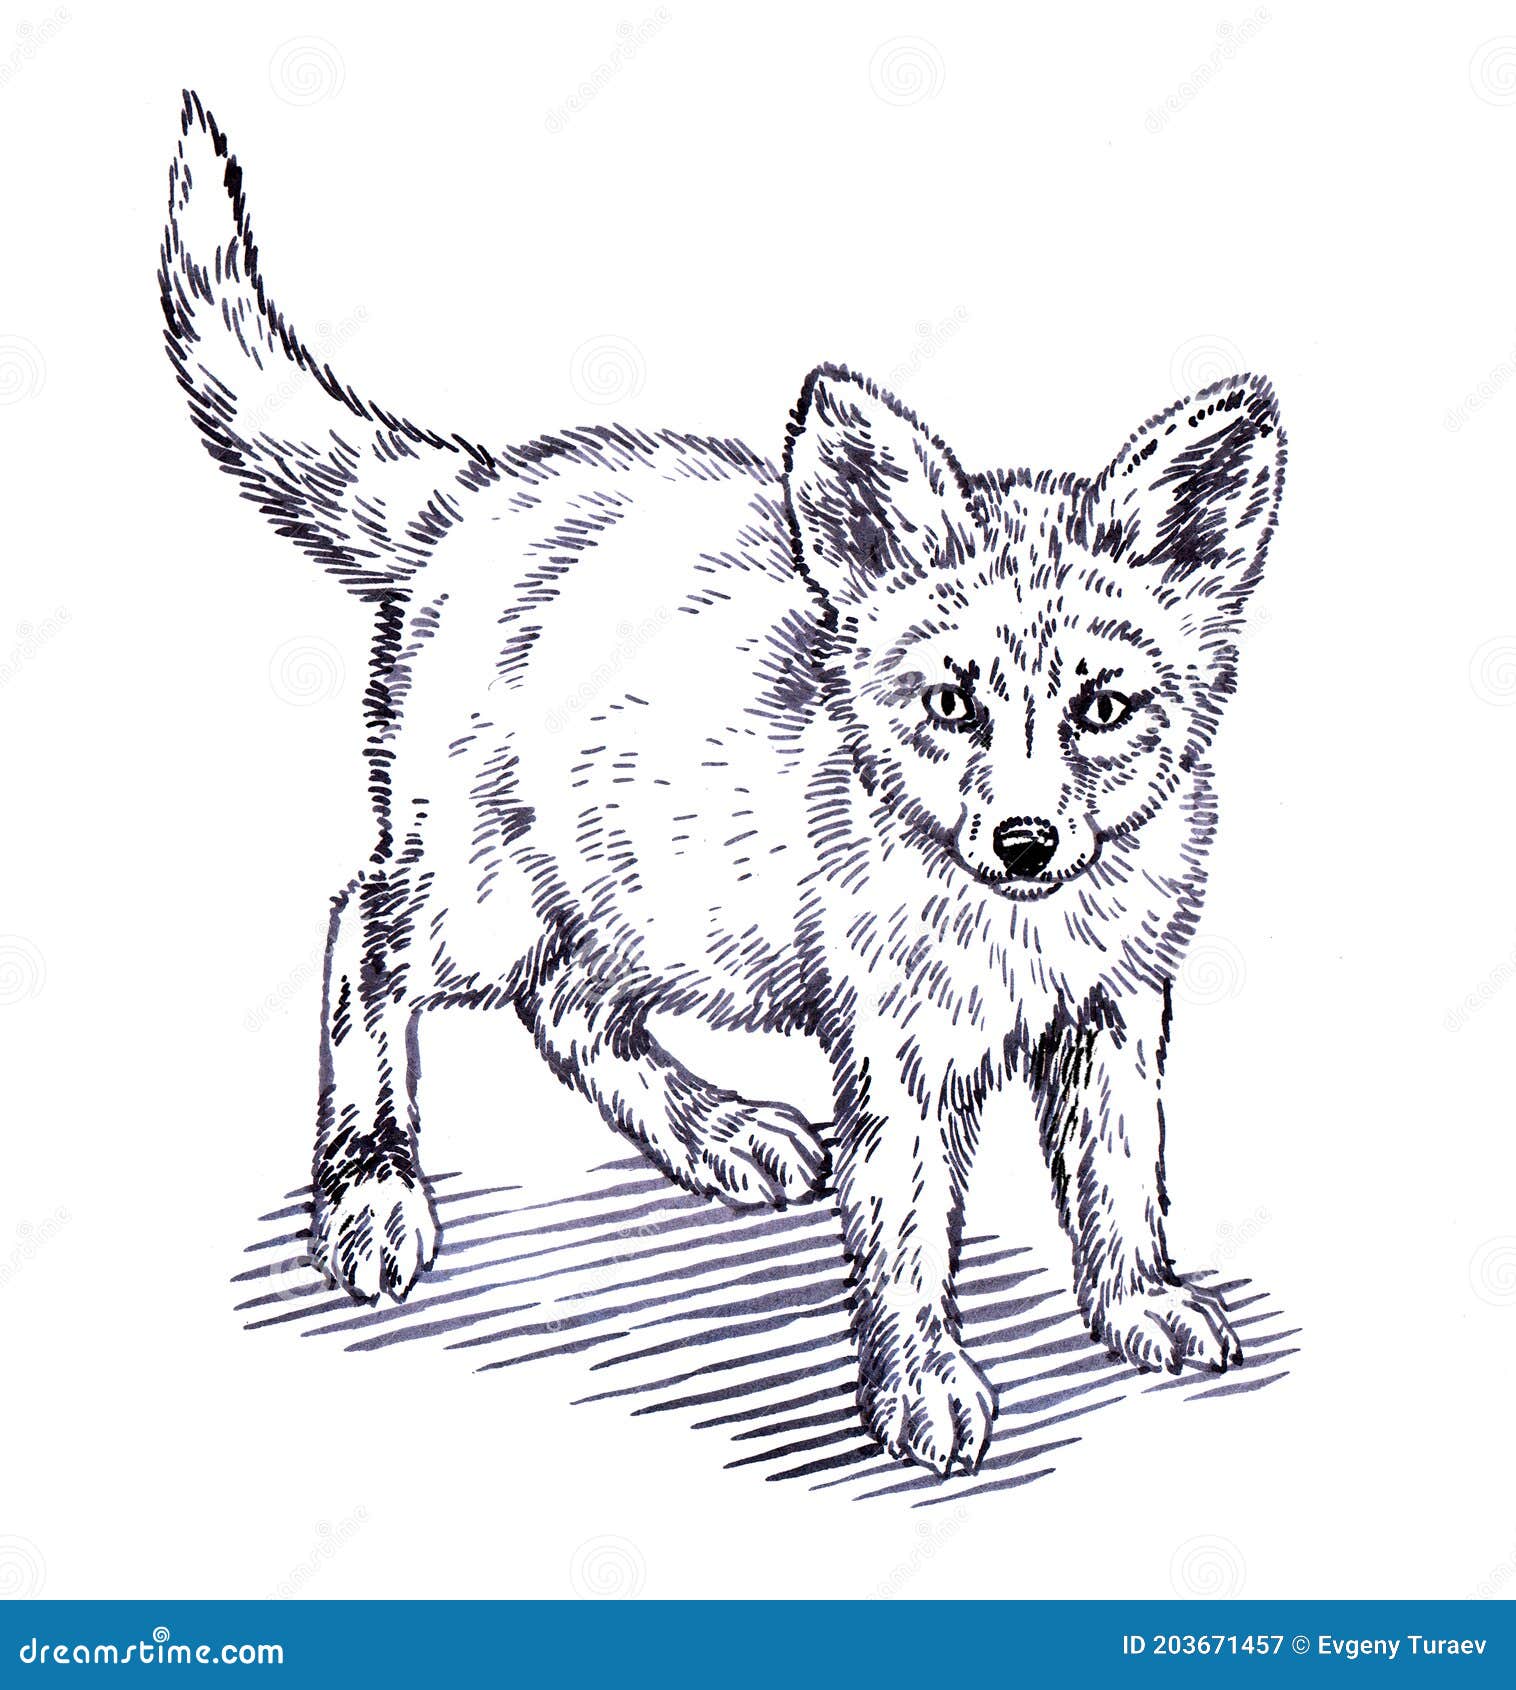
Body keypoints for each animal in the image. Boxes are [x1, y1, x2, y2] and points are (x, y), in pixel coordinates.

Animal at [161, 92, 1284, 1477]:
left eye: (1103, 709)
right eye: (952, 704)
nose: (1025, 842)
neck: (1023, 937)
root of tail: (477, 489)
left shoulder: (1116, 1009)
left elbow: (1120, 1180)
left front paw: (1135, 1303)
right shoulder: (898, 1047)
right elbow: (907, 1227)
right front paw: (918, 1382)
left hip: (649, 902)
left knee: (571, 1009)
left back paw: (715, 1132)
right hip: (489, 895)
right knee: (363, 935)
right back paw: (372, 1182)